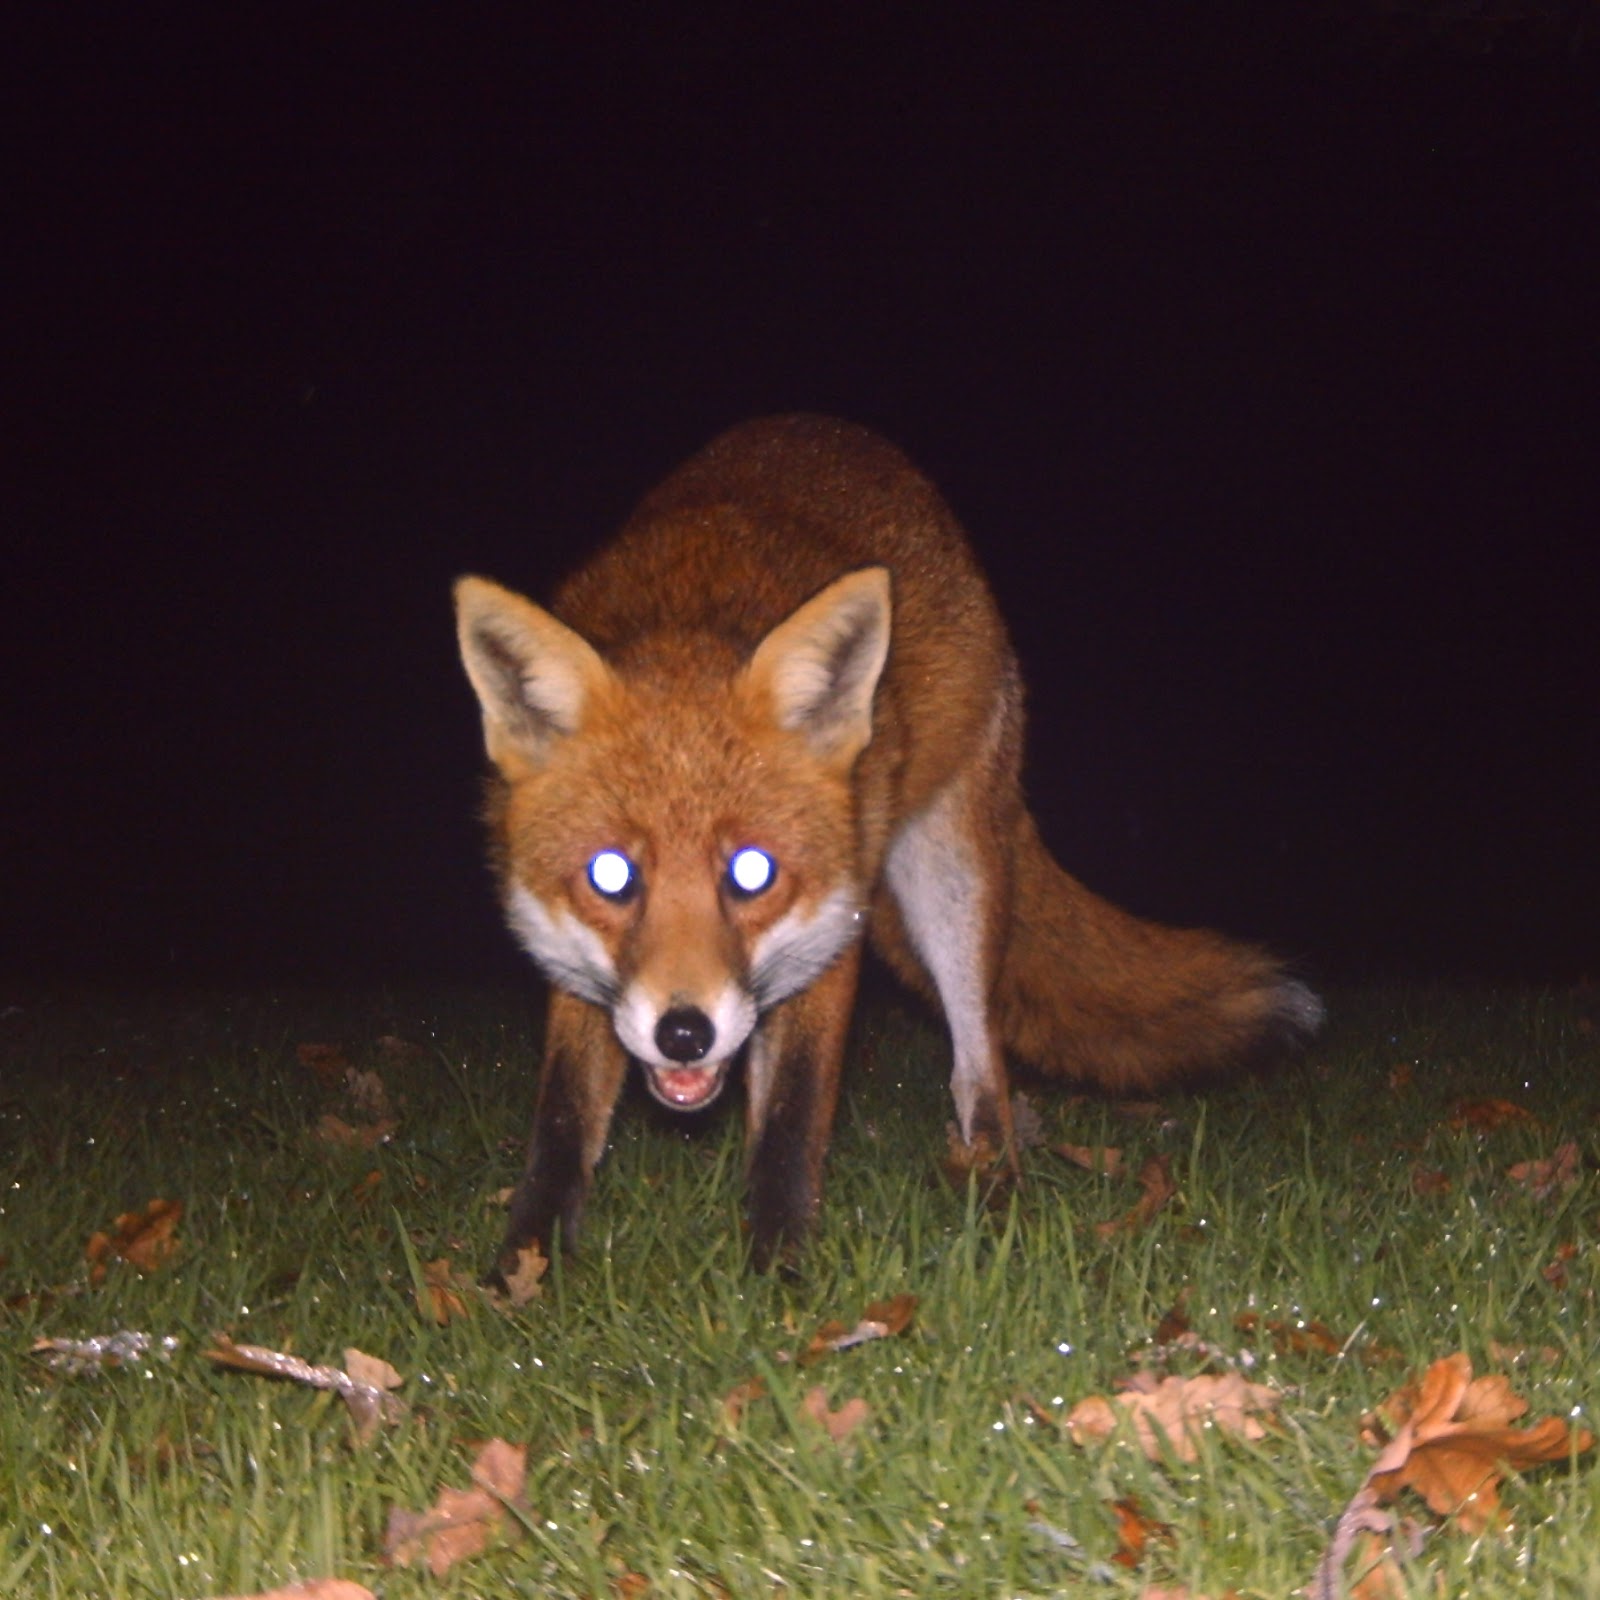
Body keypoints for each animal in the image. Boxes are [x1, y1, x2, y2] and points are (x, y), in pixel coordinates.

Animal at [455, 414, 1322, 1277]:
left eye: (751, 871)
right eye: (611, 875)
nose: (684, 1034)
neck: (689, 620)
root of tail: (825, 427)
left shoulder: (834, 930)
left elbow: (794, 1118)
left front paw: (778, 1274)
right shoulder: (575, 967)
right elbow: (564, 1125)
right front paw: (521, 1272)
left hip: (949, 880)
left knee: (980, 1070)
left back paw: (995, 1196)